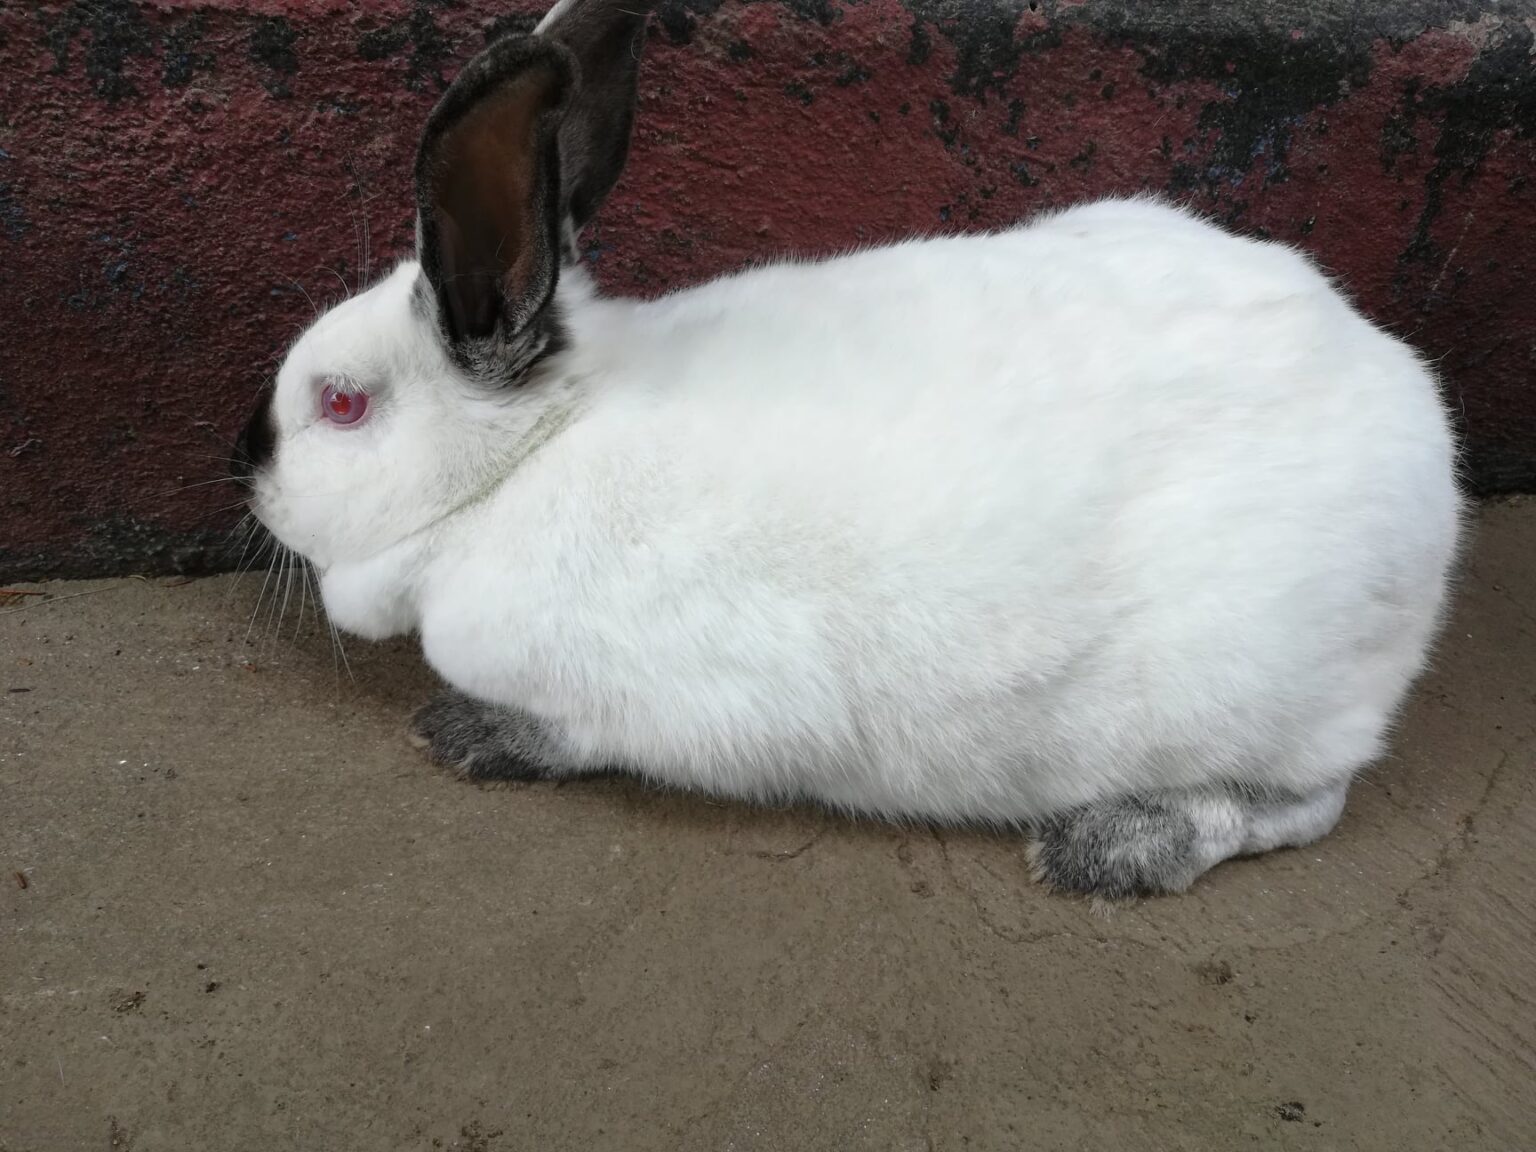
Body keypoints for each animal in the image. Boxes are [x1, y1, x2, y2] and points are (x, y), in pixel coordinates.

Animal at [232, 0, 1463, 898]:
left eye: (341, 405)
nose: (248, 468)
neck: (530, 456)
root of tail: (1416, 416)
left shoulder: (667, 702)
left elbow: (577, 732)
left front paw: (463, 735)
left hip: (1244, 704)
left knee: (1304, 804)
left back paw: (1114, 849)